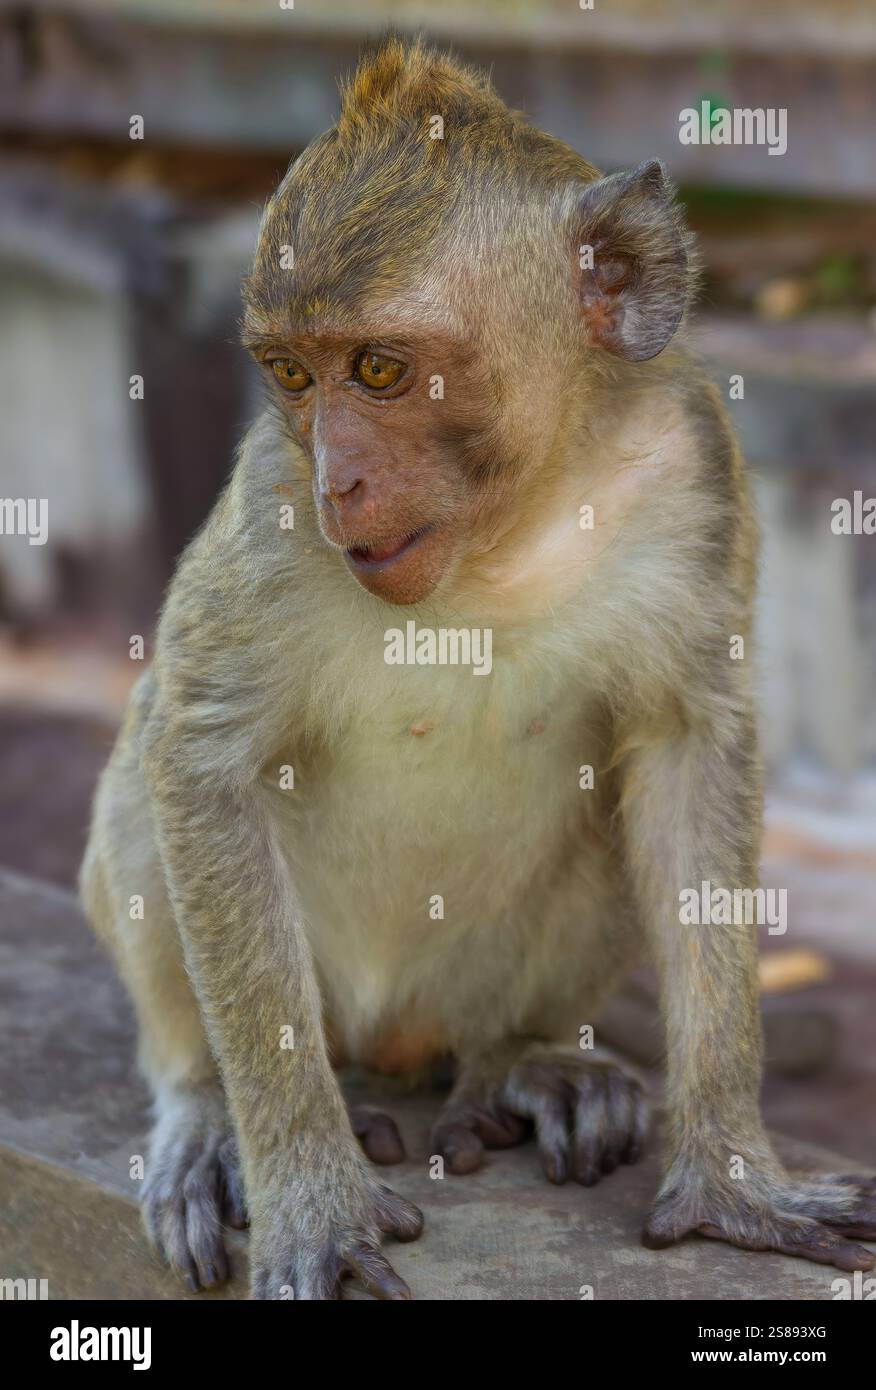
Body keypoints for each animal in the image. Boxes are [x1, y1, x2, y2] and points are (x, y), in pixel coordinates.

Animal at [81, 37, 876, 1300]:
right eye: (292, 377)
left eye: (378, 368)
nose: (340, 483)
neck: (510, 529)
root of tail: (395, 1035)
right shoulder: (271, 504)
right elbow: (199, 752)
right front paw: (309, 1194)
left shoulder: (693, 462)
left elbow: (686, 749)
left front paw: (733, 1180)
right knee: (149, 762)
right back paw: (210, 1109)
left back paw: (522, 1062)